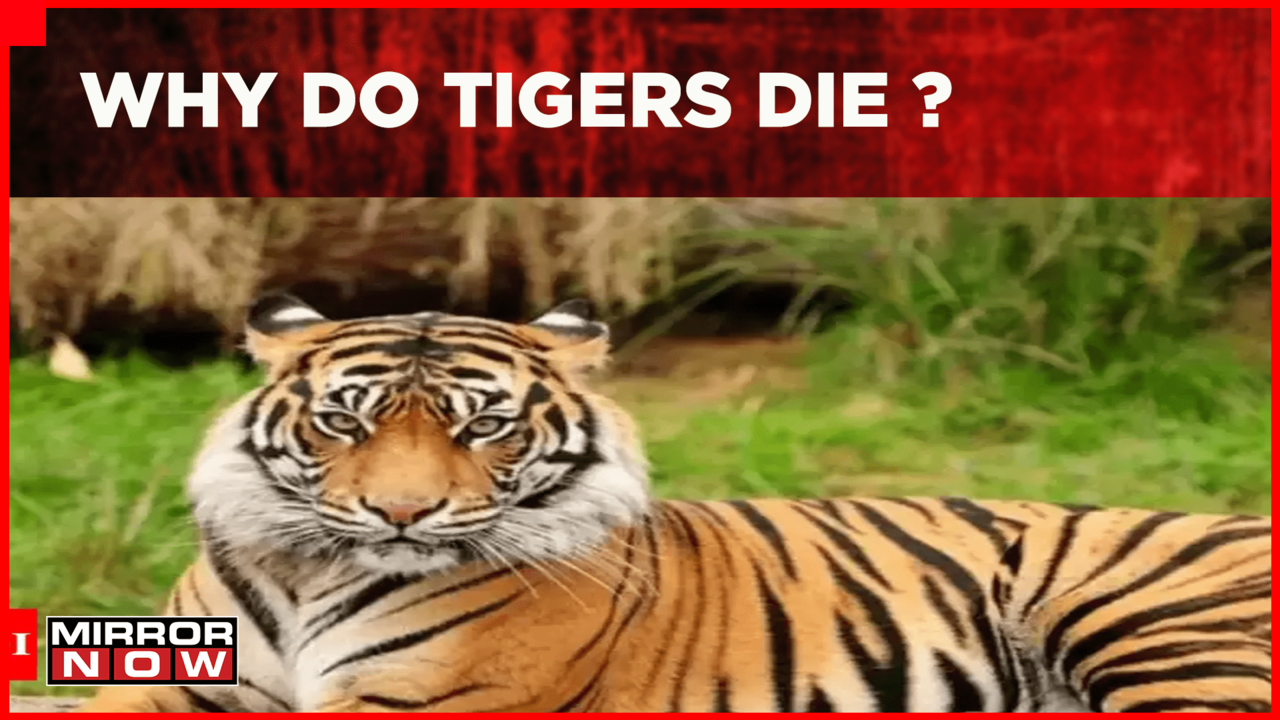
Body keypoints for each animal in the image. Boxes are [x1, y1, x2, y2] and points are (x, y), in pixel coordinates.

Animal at [82, 293, 1271, 713]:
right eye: (346, 421)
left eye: (482, 428)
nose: (400, 518)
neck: (308, 570)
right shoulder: (175, 683)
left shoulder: (422, 703)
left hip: (1144, 620)